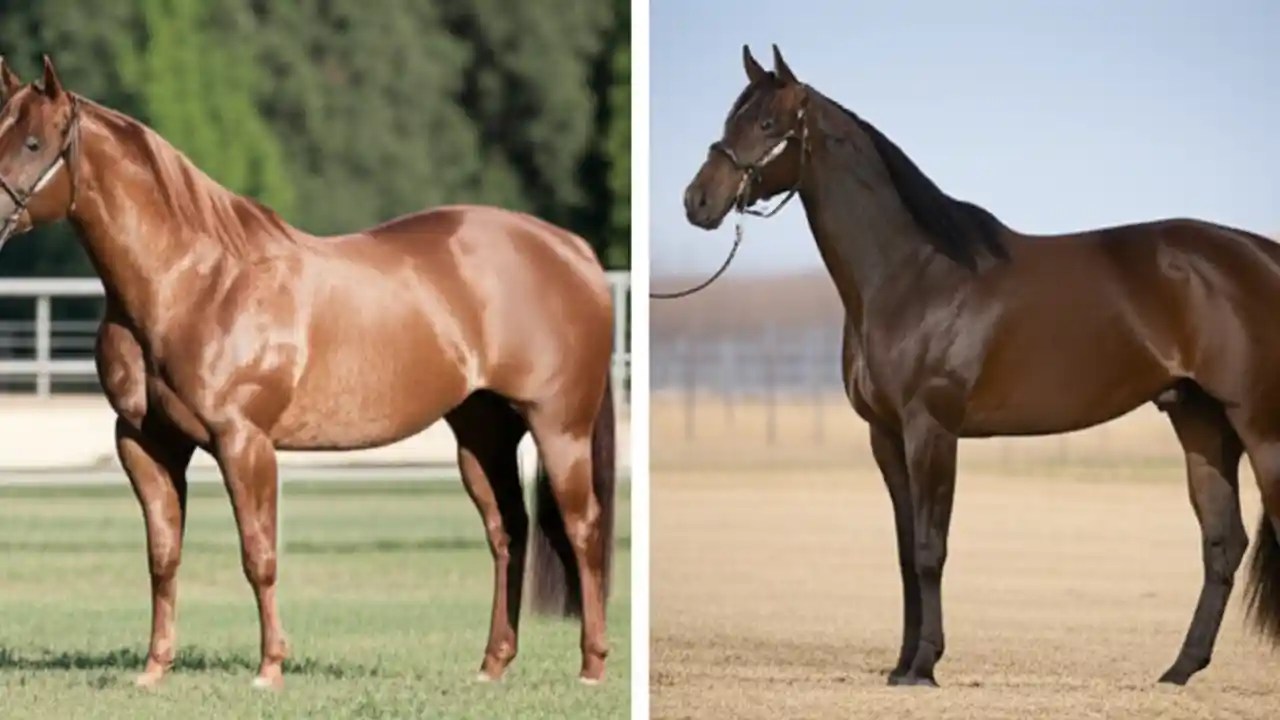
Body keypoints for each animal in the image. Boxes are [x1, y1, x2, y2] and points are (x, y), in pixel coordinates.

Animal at [0, 56, 616, 689]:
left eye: (32, 142)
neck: (195, 282)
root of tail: (571, 251)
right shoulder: (145, 442)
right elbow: (163, 555)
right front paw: (155, 668)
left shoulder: (243, 442)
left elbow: (259, 554)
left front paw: (270, 667)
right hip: (482, 433)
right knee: (508, 531)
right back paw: (493, 664)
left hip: (559, 429)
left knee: (582, 528)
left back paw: (592, 666)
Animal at [681, 44, 1280, 688]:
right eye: (732, 119)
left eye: (768, 124)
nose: (697, 201)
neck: (911, 274)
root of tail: (1262, 255)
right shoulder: (886, 434)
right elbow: (904, 550)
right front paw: (902, 665)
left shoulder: (932, 428)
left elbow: (930, 549)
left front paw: (924, 665)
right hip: (1200, 422)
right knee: (1222, 542)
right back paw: (1179, 670)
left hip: (1260, 428)